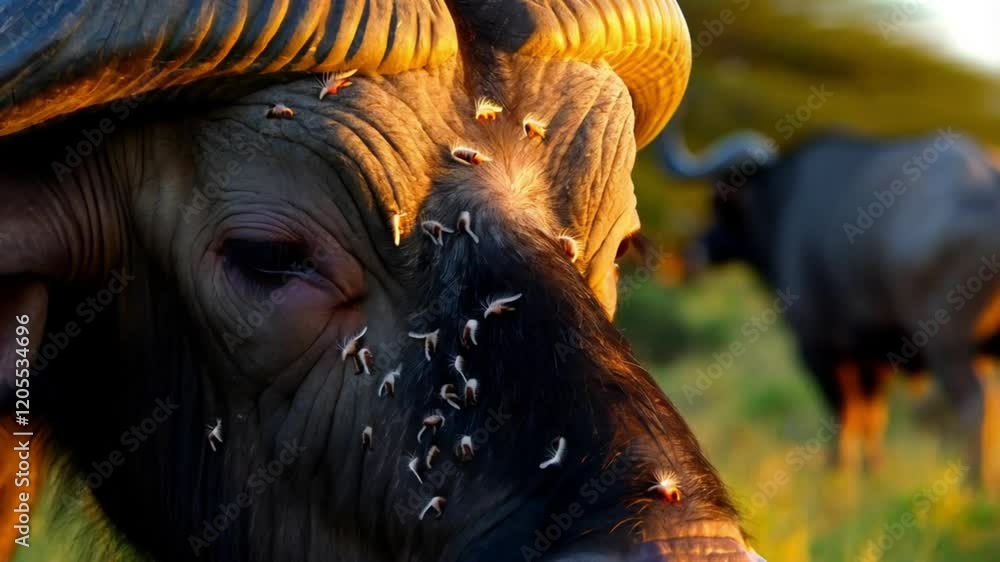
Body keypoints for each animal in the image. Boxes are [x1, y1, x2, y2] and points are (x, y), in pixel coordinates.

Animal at [661, 127, 1000, 491]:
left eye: (719, 204)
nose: (694, 252)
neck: (786, 202)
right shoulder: (873, 357)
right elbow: (873, 417)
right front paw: (873, 474)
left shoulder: (820, 350)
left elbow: (845, 418)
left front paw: (838, 476)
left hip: (950, 347)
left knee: (976, 404)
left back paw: (975, 483)